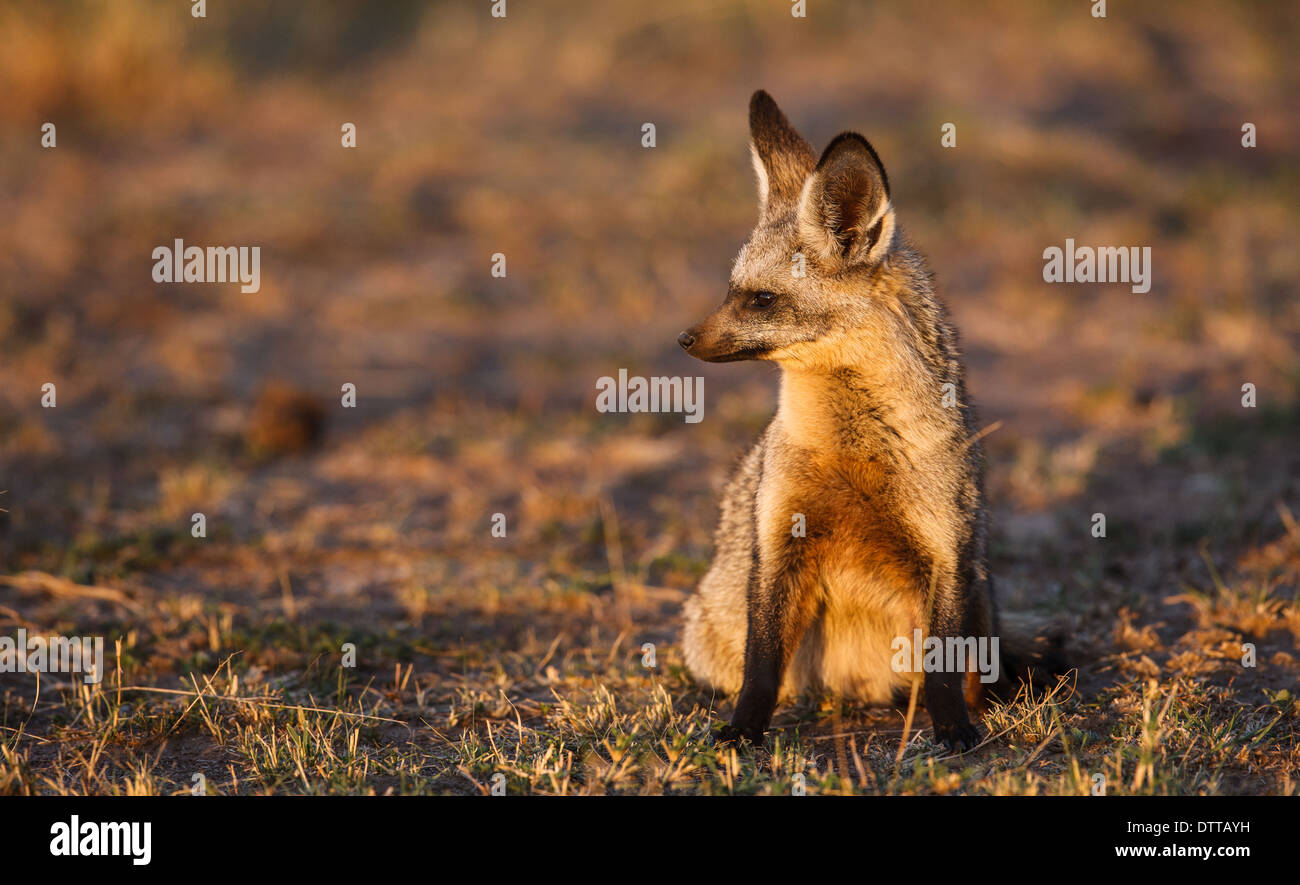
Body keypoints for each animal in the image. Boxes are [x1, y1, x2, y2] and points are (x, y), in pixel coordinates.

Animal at [679, 91, 1016, 751]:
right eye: (729, 290)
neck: (852, 453)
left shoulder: (944, 549)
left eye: (759, 300)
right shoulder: (778, 538)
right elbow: (762, 666)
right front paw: (742, 731)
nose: (683, 339)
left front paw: (953, 732)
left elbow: (942, 674)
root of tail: (850, 688)